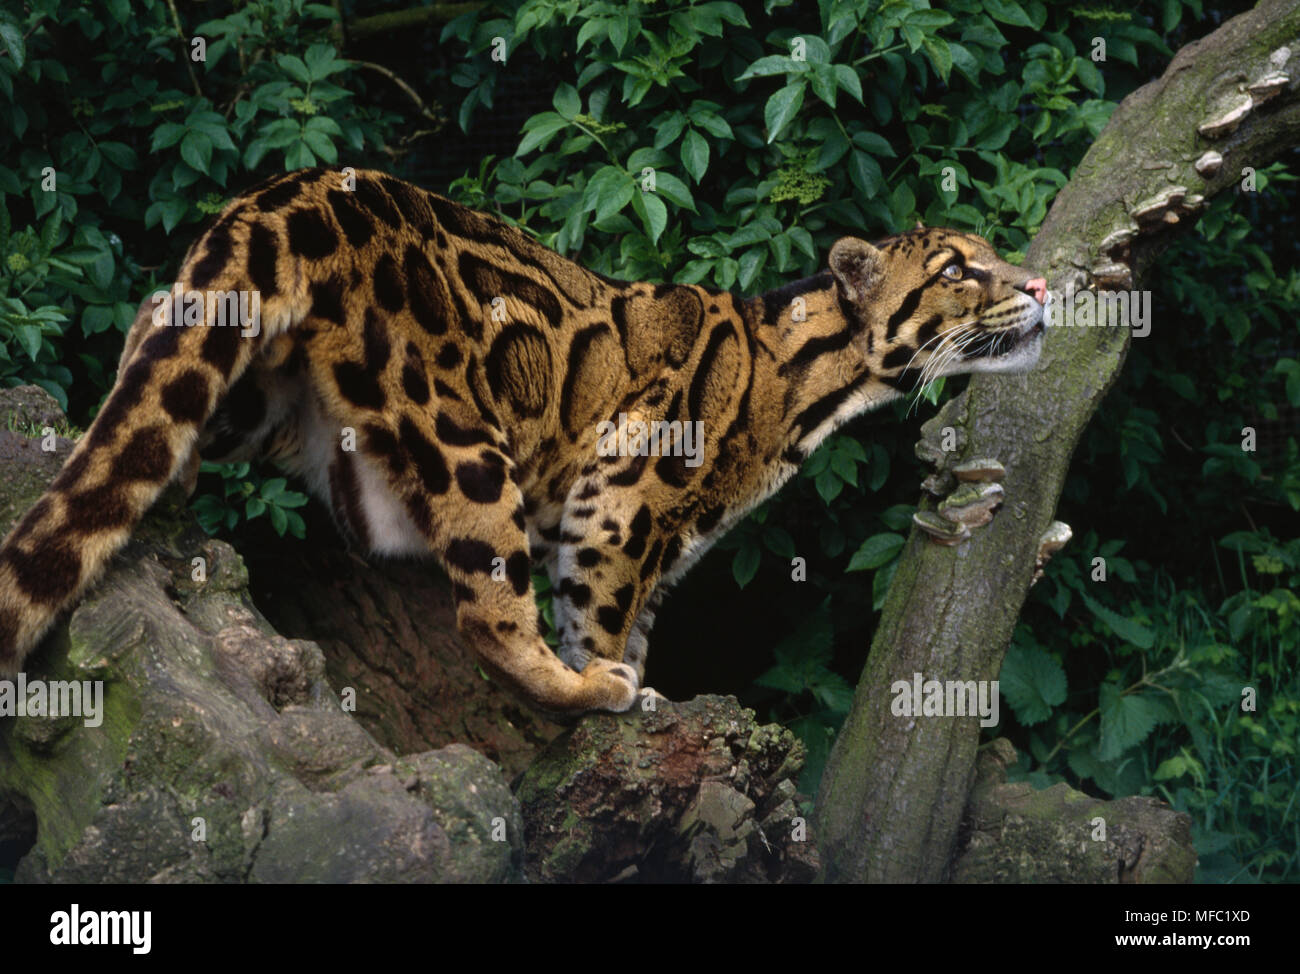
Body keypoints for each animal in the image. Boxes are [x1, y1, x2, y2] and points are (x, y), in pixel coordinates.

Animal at [0, 167, 1048, 714]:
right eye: (958, 270)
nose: (1040, 285)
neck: (805, 384)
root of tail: (292, 191)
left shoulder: (653, 546)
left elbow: (636, 619)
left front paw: (640, 682)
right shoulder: (622, 505)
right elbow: (602, 614)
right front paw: (613, 683)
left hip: (238, 375)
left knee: (143, 384)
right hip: (462, 438)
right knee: (488, 614)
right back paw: (577, 687)